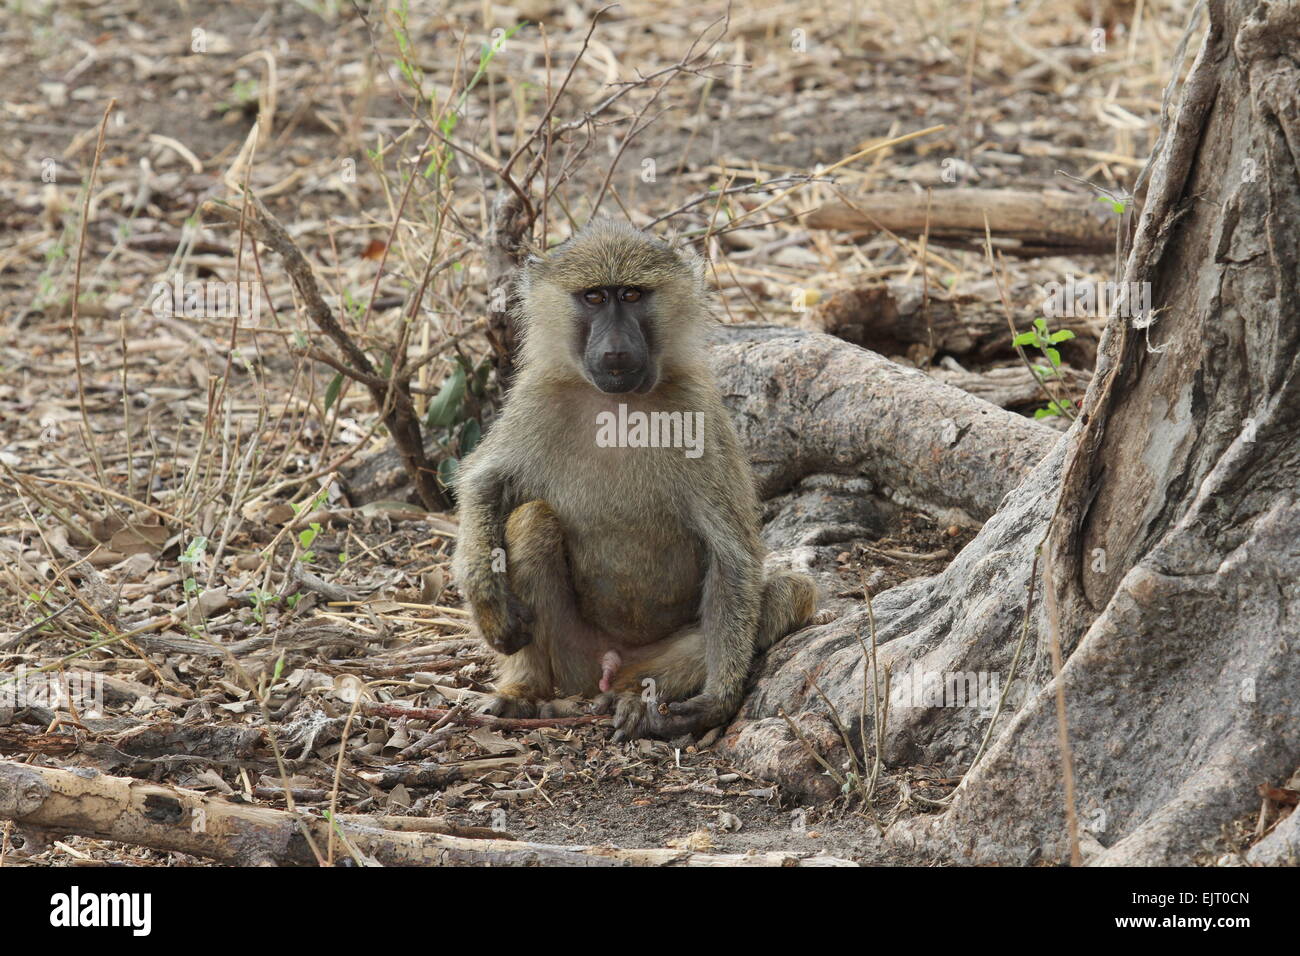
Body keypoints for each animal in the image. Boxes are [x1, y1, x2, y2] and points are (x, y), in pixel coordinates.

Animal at [451, 217, 817, 741]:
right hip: (574, 655)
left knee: (791, 592)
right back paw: (525, 690)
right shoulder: (538, 398)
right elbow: (486, 482)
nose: (616, 349)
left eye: (631, 294)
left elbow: (733, 556)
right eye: (594, 297)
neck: (619, 407)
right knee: (531, 520)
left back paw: (636, 700)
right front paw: (486, 600)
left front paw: (718, 700)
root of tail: (609, 665)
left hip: (641, 658)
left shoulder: (697, 412)